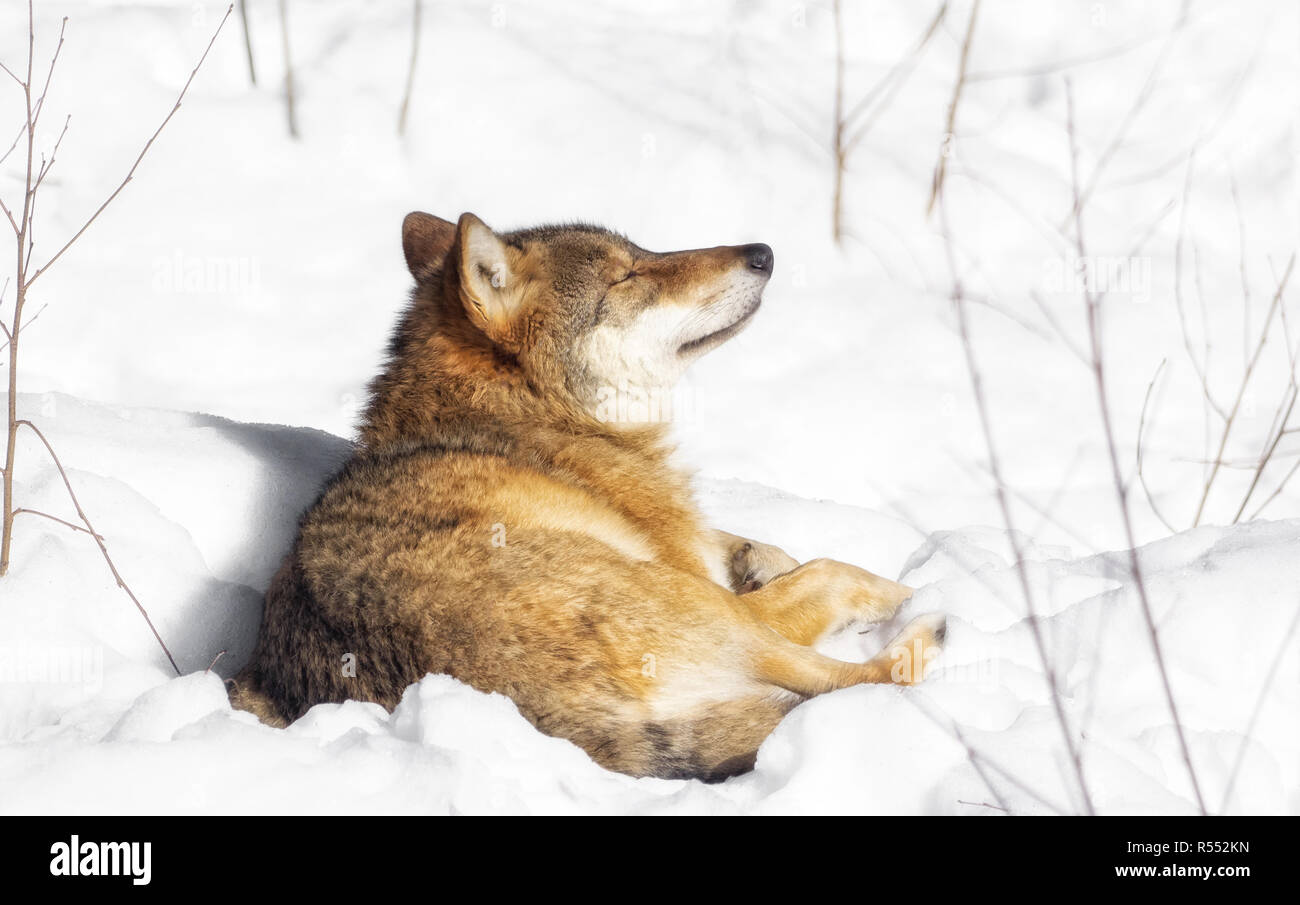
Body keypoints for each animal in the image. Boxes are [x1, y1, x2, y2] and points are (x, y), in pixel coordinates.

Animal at [228, 211, 946, 781]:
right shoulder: (702, 575)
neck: (537, 416)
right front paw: (903, 589)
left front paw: (760, 556)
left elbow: (753, 543)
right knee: (856, 676)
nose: (763, 252)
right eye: (628, 277)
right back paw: (929, 625)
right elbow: (825, 569)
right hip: (704, 610)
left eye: (645, 250)